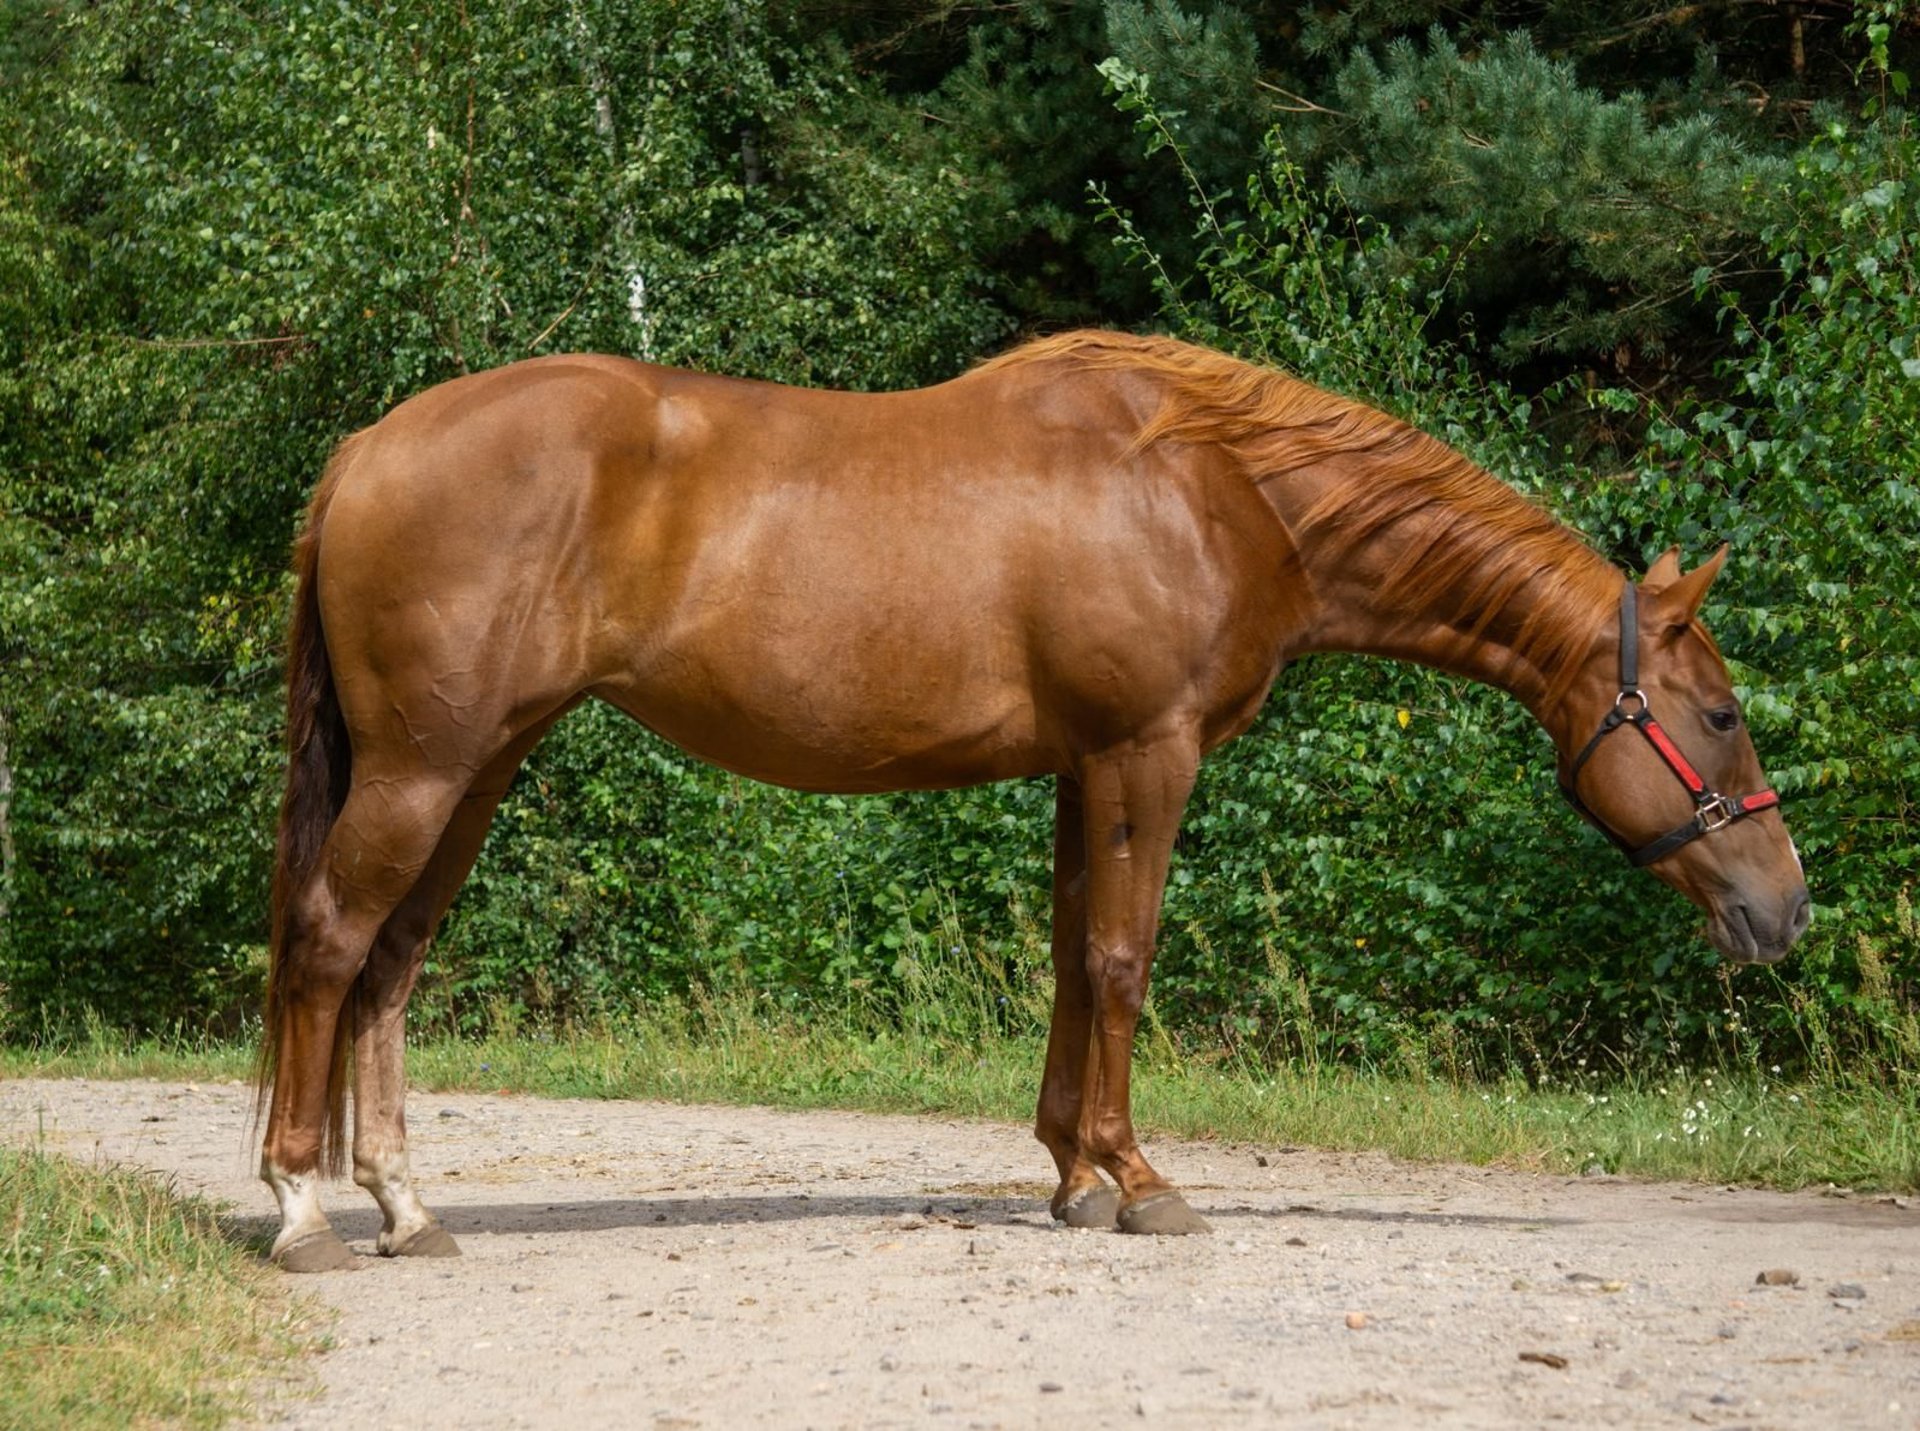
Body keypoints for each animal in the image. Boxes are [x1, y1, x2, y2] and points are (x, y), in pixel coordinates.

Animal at [255, 331, 1809, 1271]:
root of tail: (363, 448)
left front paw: (1071, 1171)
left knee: (391, 962)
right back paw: (303, 1205)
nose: (1784, 909)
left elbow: (1073, 959)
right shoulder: (1146, 751)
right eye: (1721, 716)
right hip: (426, 768)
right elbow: (1123, 959)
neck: (1217, 488)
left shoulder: (1082, 768)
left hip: (480, 766)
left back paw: (406, 1204)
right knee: (330, 942)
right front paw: (1141, 1179)